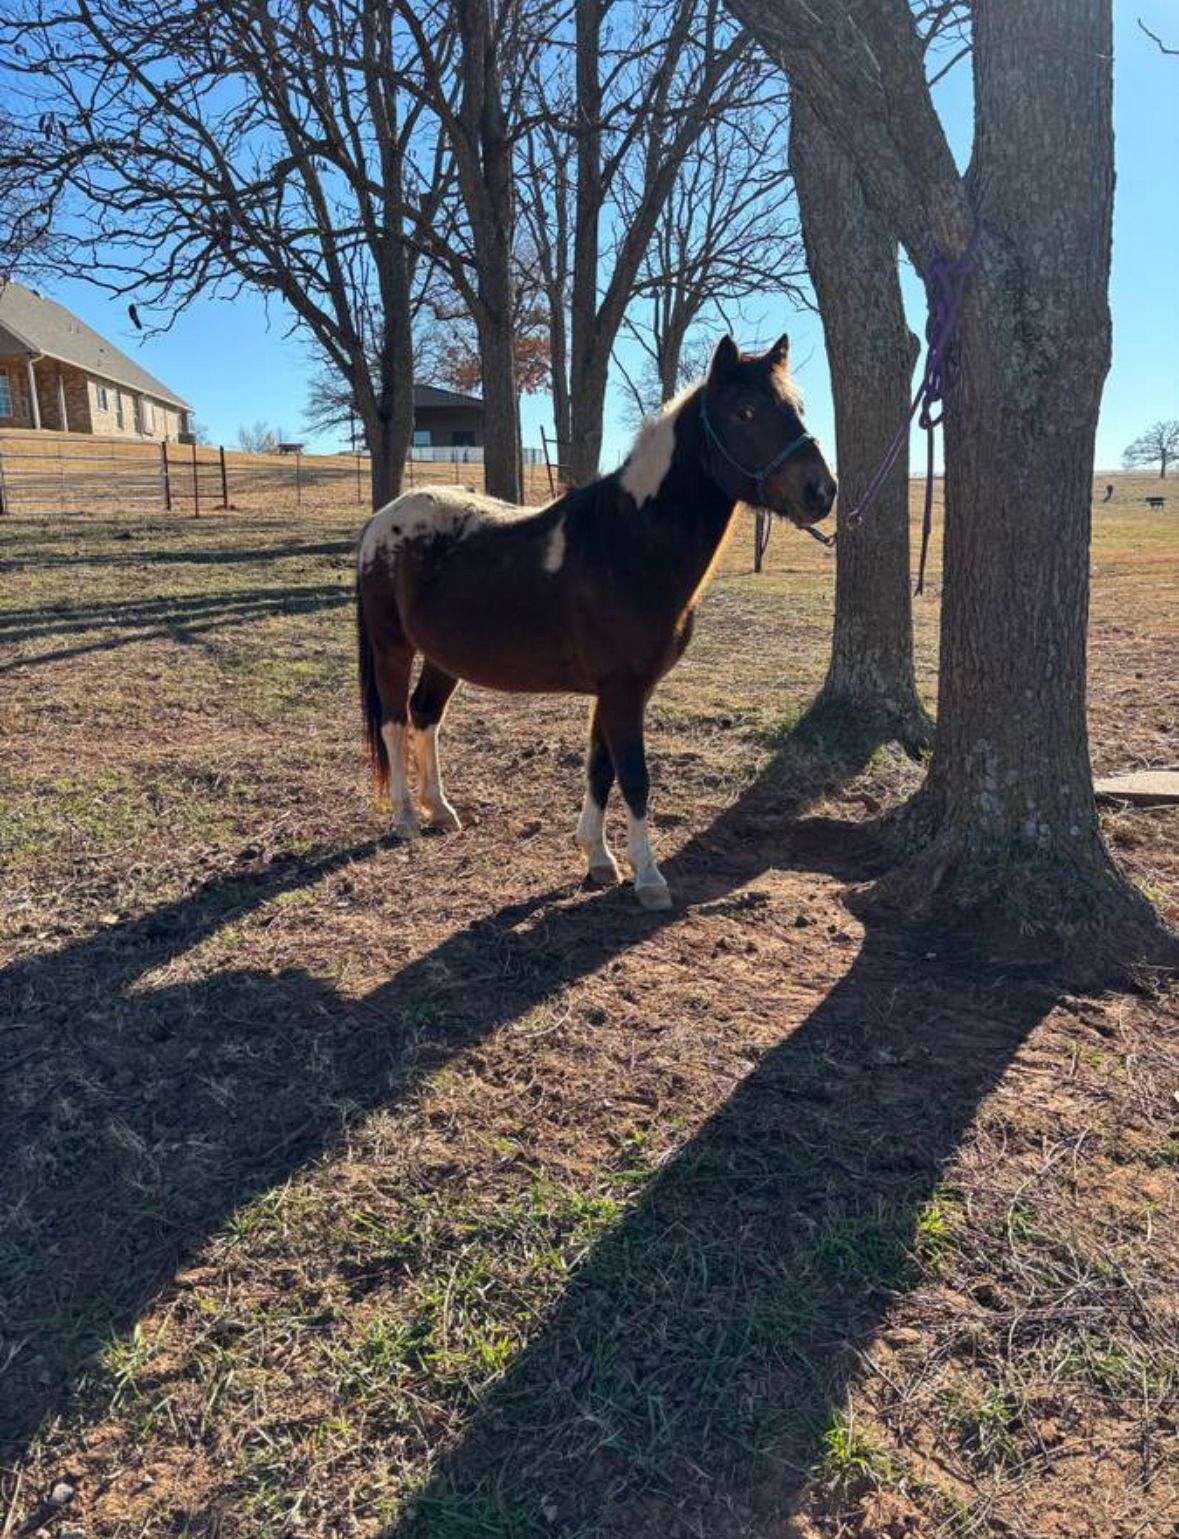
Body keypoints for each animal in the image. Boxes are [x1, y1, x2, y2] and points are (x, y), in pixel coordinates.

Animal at [355, 334, 836, 910]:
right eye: (745, 411)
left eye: (797, 409)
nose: (821, 491)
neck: (630, 542)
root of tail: (382, 520)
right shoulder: (622, 689)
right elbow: (634, 776)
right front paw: (648, 877)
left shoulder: (624, 690)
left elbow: (600, 767)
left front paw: (599, 859)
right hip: (392, 646)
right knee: (393, 719)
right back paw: (406, 817)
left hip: (443, 657)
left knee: (425, 715)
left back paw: (441, 811)